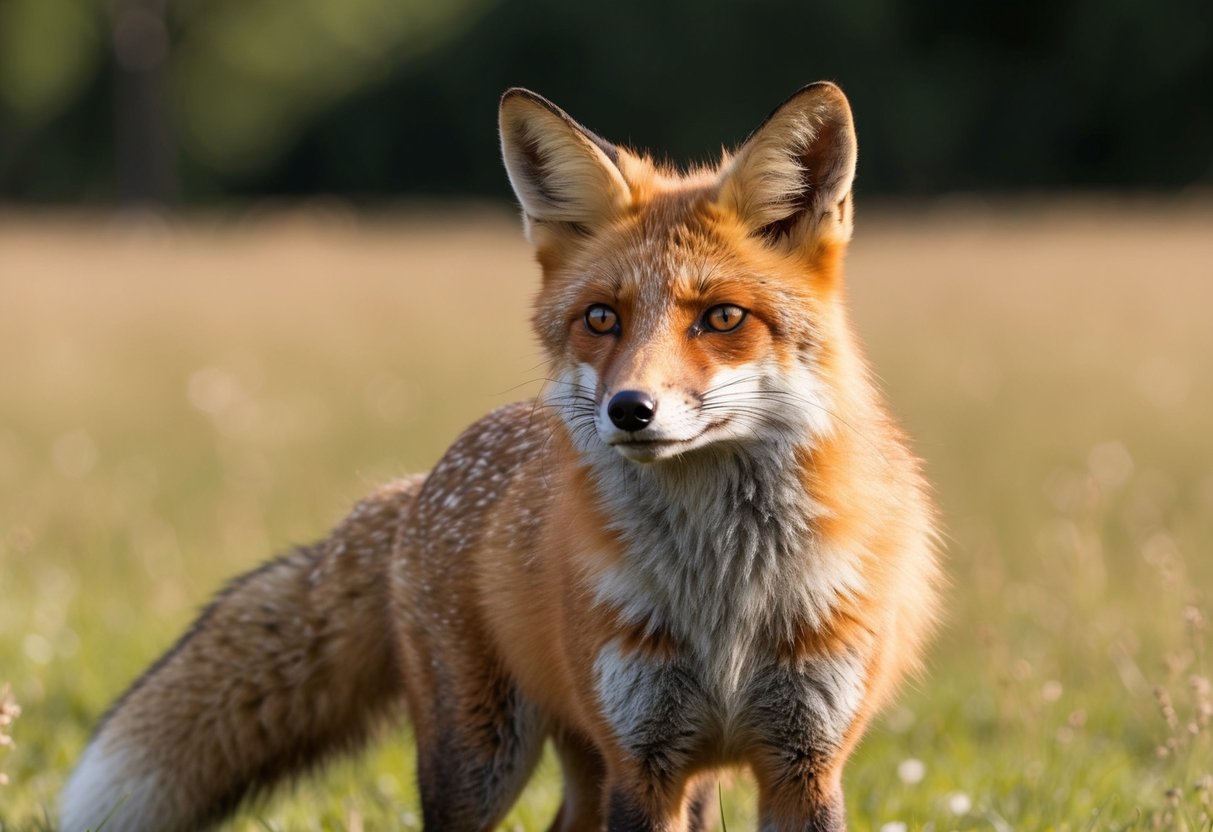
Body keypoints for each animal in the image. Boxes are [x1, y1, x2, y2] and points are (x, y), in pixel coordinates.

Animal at [61, 82, 940, 832]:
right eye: (600, 318)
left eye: (722, 317)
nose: (629, 410)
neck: (723, 596)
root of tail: (420, 484)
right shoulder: (644, 763)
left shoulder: (801, 764)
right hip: (485, 761)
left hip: (638, 768)